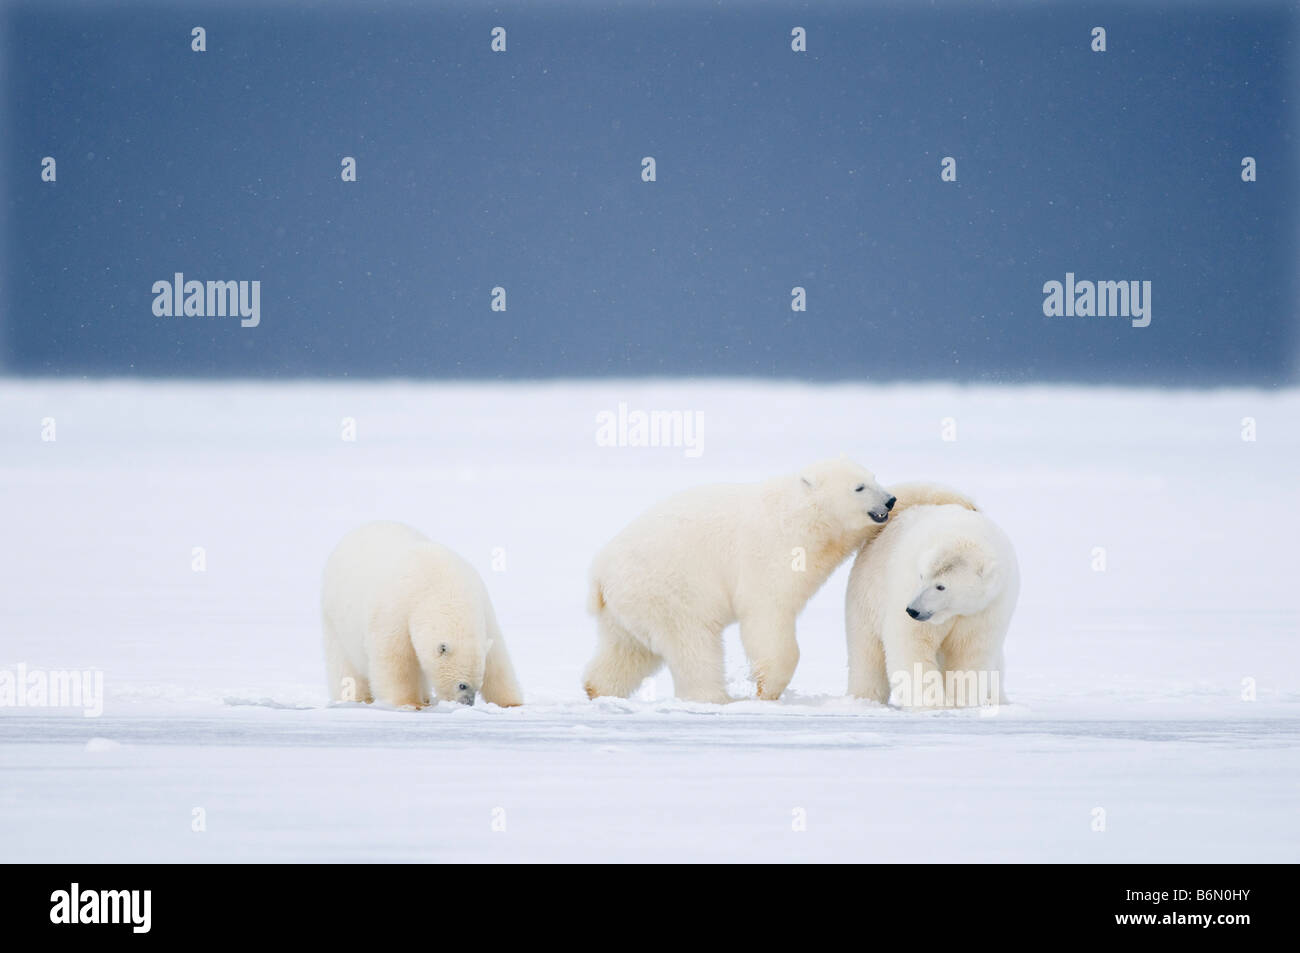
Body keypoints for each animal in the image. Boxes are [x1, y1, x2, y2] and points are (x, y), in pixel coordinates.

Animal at [320, 521, 523, 708]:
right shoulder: (395, 610)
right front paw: (409, 703)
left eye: (478, 684)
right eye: (462, 685)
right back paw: (356, 697)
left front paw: (511, 703)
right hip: (335, 615)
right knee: (343, 663)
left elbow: (497, 658)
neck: (442, 586)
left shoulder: (481, 603)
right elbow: (394, 660)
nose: (467, 704)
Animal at [581, 457, 976, 703]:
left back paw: (597, 689)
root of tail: (599, 574)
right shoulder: (771, 553)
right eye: (859, 487)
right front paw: (766, 689)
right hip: (666, 589)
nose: (889, 501)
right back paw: (718, 698)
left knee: (627, 652)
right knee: (692, 644)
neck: (800, 513)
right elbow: (767, 619)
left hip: (628, 608)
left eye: (874, 478)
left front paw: (962, 502)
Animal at [845, 502, 1019, 708]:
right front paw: (933, 704)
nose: (912, 610)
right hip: (867, 595)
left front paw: (961, 702)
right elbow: (912, 644)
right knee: (867, 653)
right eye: (922, 576)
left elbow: (970, 652)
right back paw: (864, 698)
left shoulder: (987, 608)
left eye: (941, 586)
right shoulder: (907, 590)